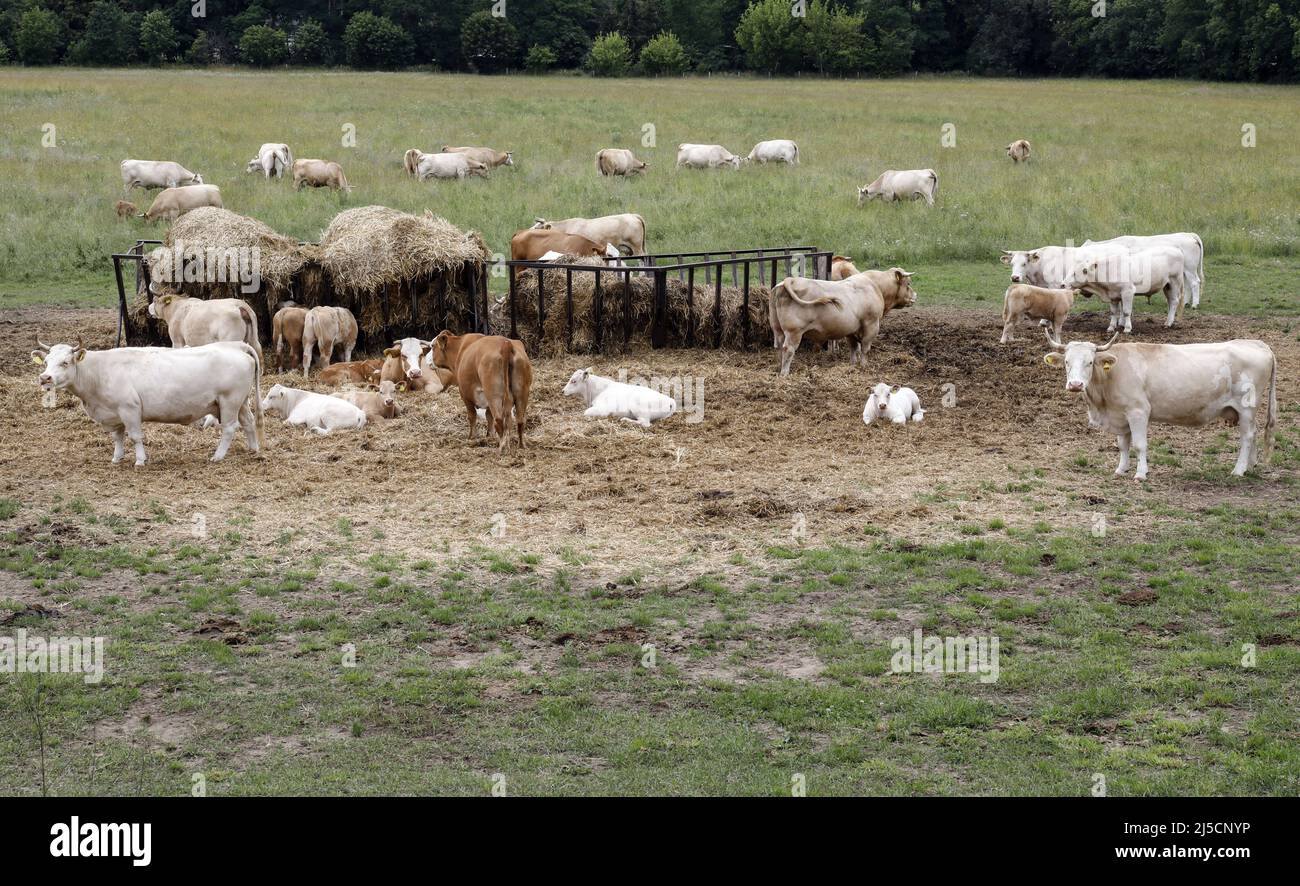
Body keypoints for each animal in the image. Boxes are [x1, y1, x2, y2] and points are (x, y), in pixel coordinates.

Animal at [33, 338, 263, 466]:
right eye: (46, 362)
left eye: (65, 362)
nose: (45, 377)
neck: (98, 372)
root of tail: (236, 345)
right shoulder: (113, 414)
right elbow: (117, 437)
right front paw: (117, 458)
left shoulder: (129, 409)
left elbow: (135, 437)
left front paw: (140, 460)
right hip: (241, 401)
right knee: (249, 421)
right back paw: (253, 449)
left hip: (229, 401)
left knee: (230, 428)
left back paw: (218, 456)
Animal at [768, 269, 917, 375]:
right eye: (908, 283)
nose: (915, 295)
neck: (875, 286)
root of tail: (790, 280)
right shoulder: (871, 324)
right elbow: (865, 349)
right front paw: (864, 366)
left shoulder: (851, 329)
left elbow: (854, 348)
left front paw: (853, 365)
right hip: (794, 331)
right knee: (788, 350)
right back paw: (784, 373)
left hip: (777, 328)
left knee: (779, 347)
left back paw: (778, 367)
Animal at [1042, 327, 1277, 480]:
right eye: (1066, 362)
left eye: (1090, 362)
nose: (1075, 384)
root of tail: (1257, 343)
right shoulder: (1121, 415)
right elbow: (1123, 445)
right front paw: (1121, 470)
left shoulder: (1138, 411)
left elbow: (1139, 444)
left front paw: (1140, 474)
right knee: (1254, 432)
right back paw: (1251, 466)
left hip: (1246, 407)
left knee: (1247, 436)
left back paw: (1238, 470)